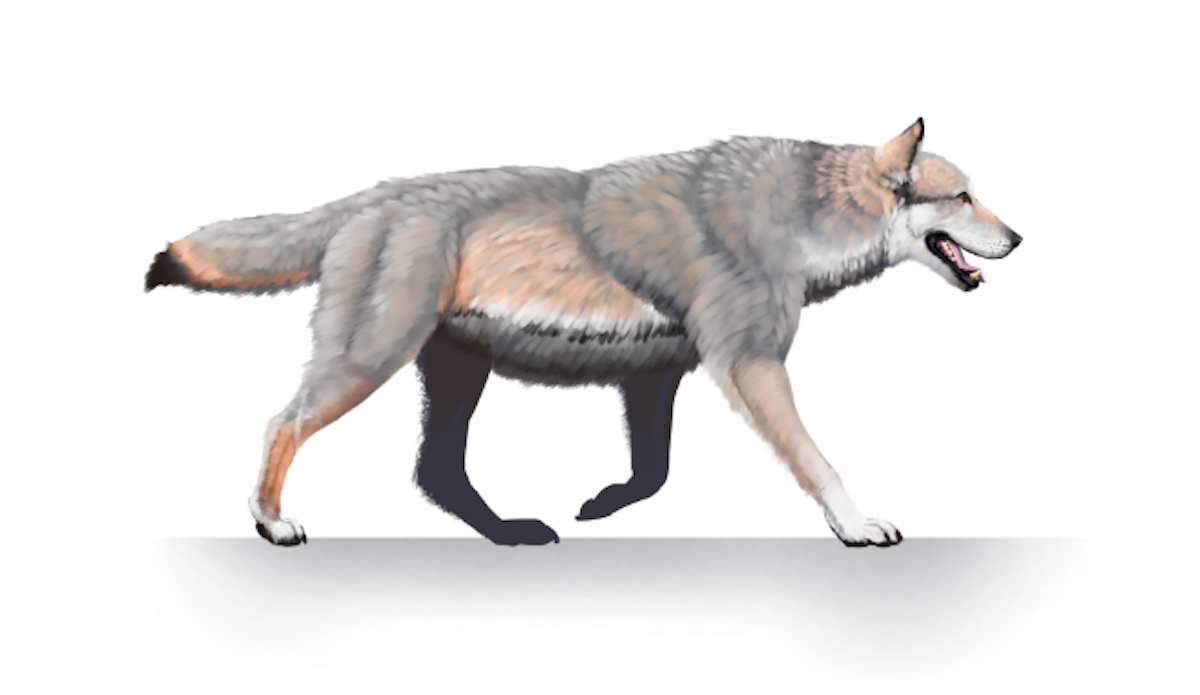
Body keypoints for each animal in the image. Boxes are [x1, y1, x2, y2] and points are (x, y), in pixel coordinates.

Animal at [145, 118, 1020, 547]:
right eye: (963, 196)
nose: (1018, 239)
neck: (808, 214)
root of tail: (371, 196)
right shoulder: (749, 363)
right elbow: (819, 462)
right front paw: (858, 526)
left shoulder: (663, 374)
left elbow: (652, 473)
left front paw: (599, 506)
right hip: (370, 361)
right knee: (281, 424)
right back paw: (269, 521)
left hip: (453, 373)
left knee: (436, 473)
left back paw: (513, 535)